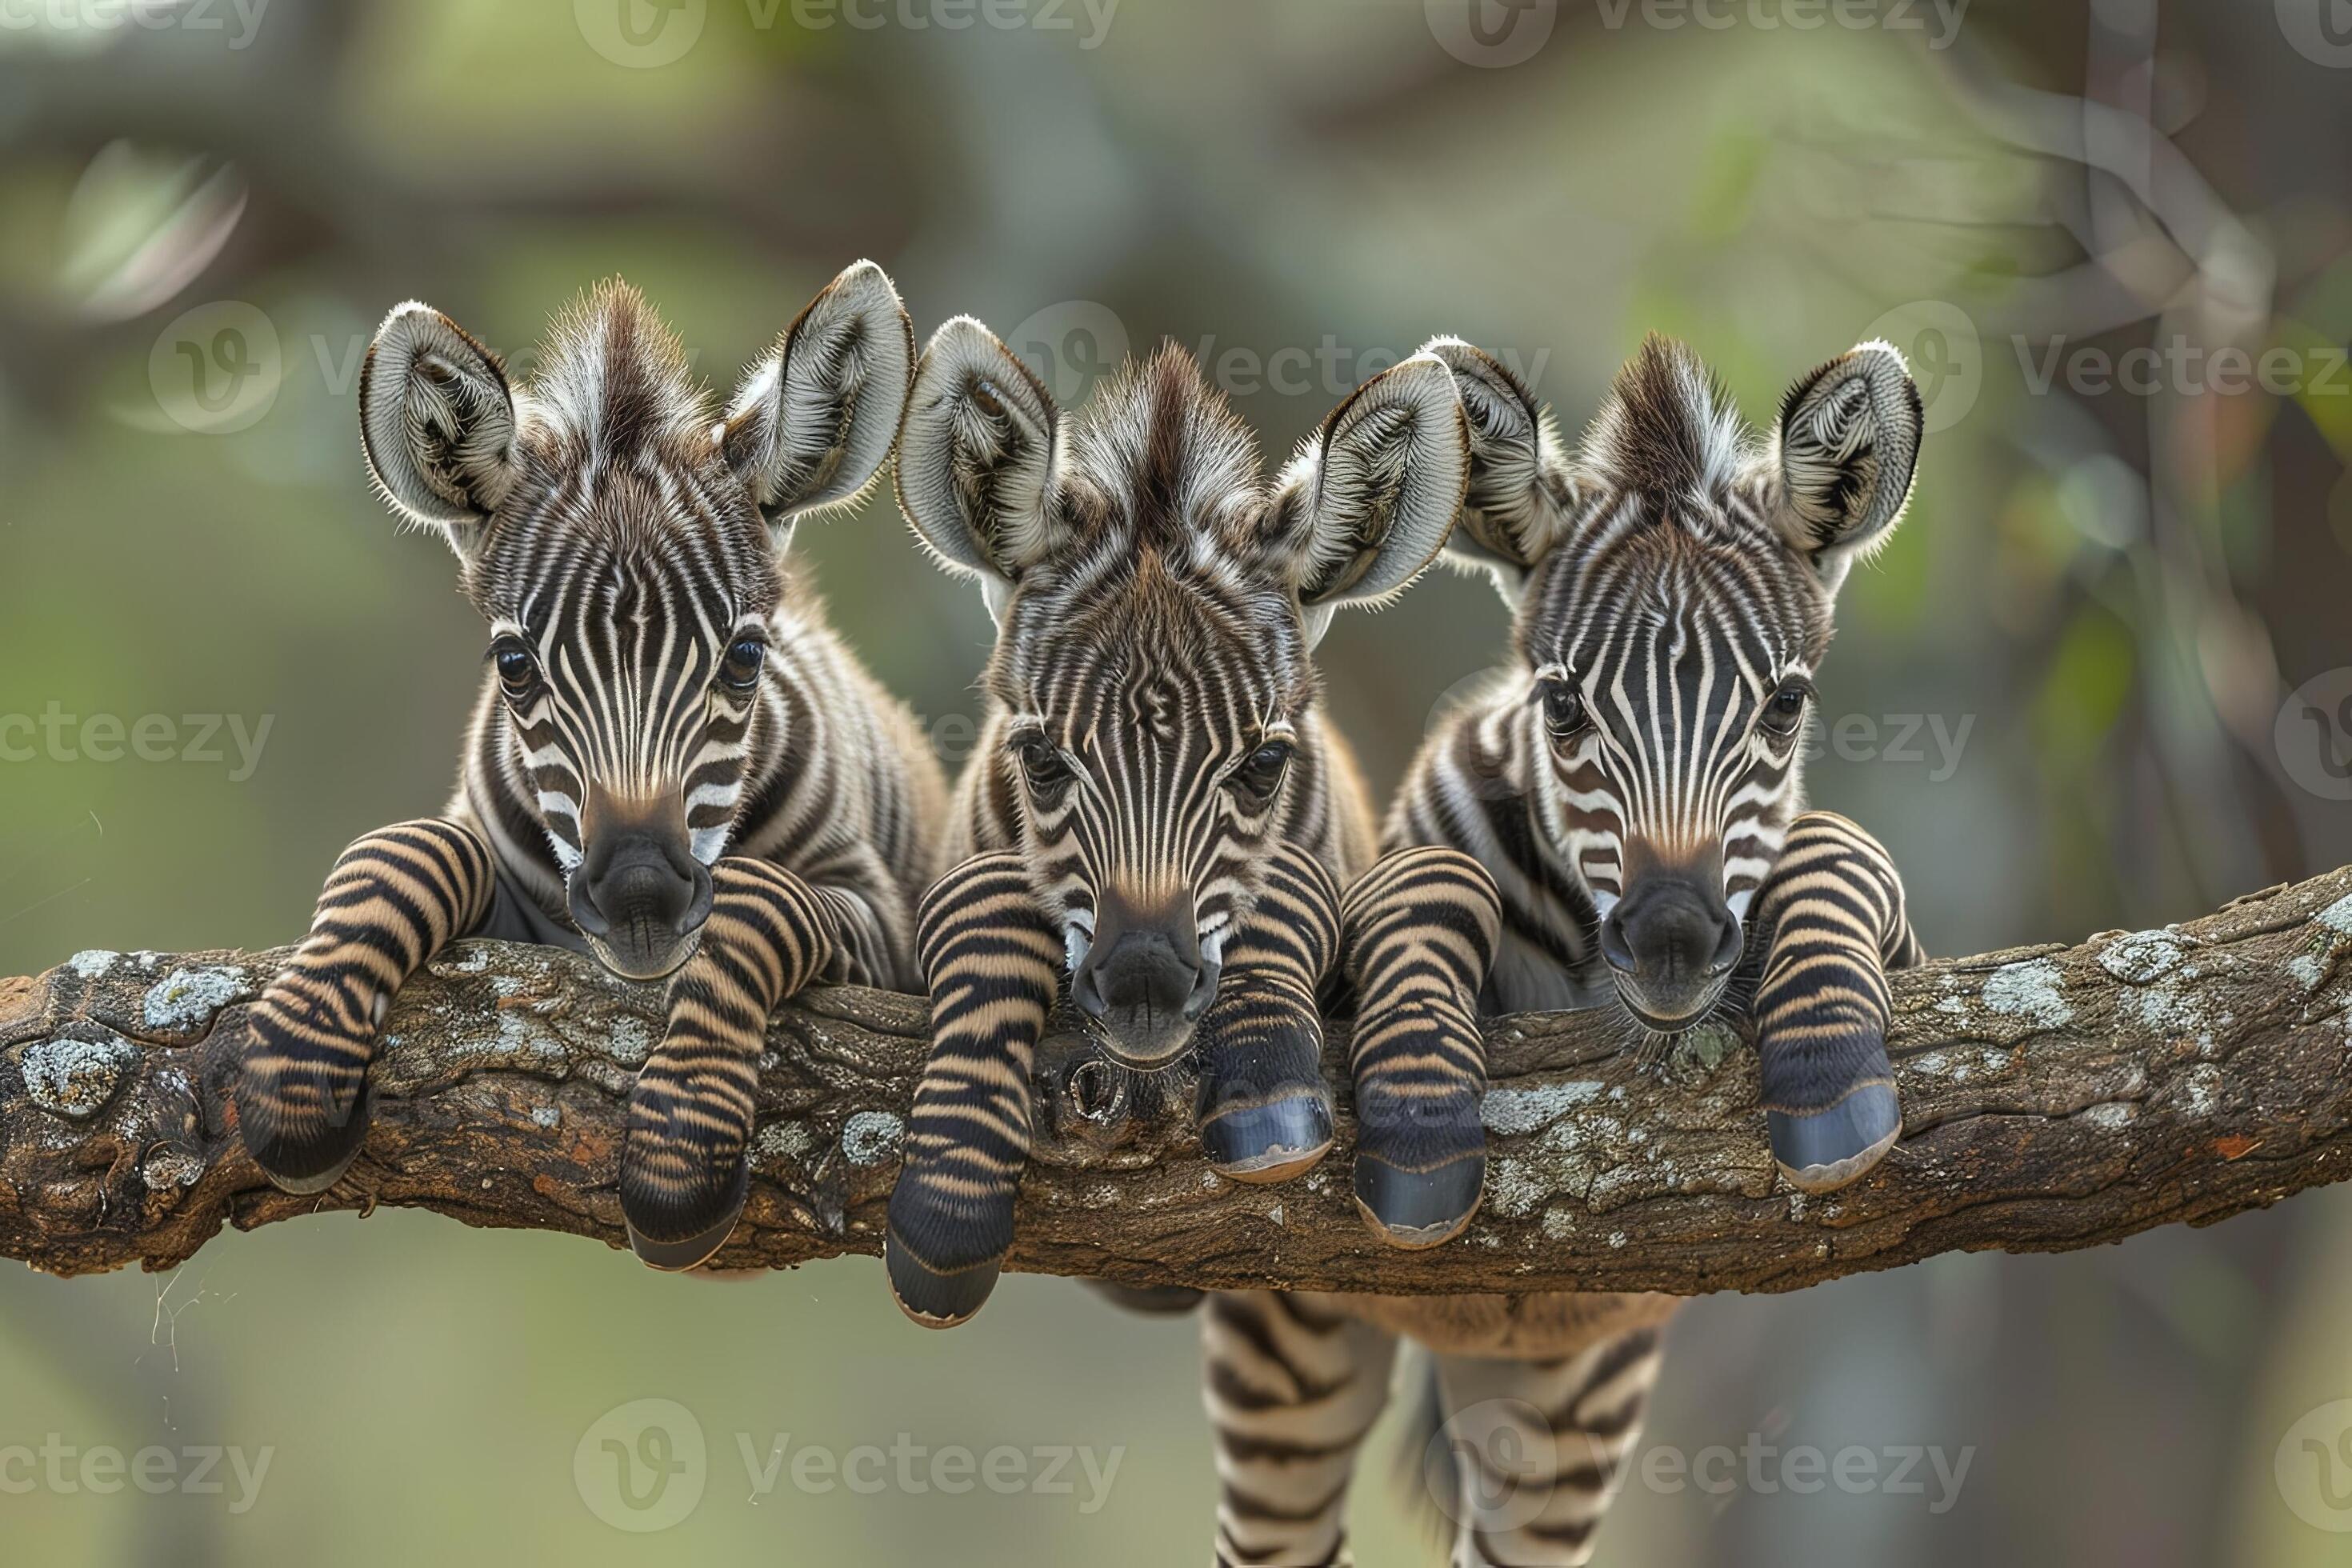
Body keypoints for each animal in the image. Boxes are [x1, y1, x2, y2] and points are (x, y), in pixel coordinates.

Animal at [235, 261, 950, 1275]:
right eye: (514, 665)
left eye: (745, 658)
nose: (640, 894)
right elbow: (399, 851)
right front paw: (297, 1068)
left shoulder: (882, 924)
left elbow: (762, 900)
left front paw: (681, 1147)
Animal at [875, 322, 1507, 1335]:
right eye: (1040, 759)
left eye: (1263, 767)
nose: (1145, 987)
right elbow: (979, 906)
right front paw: (947, 1213)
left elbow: (1366, 881)